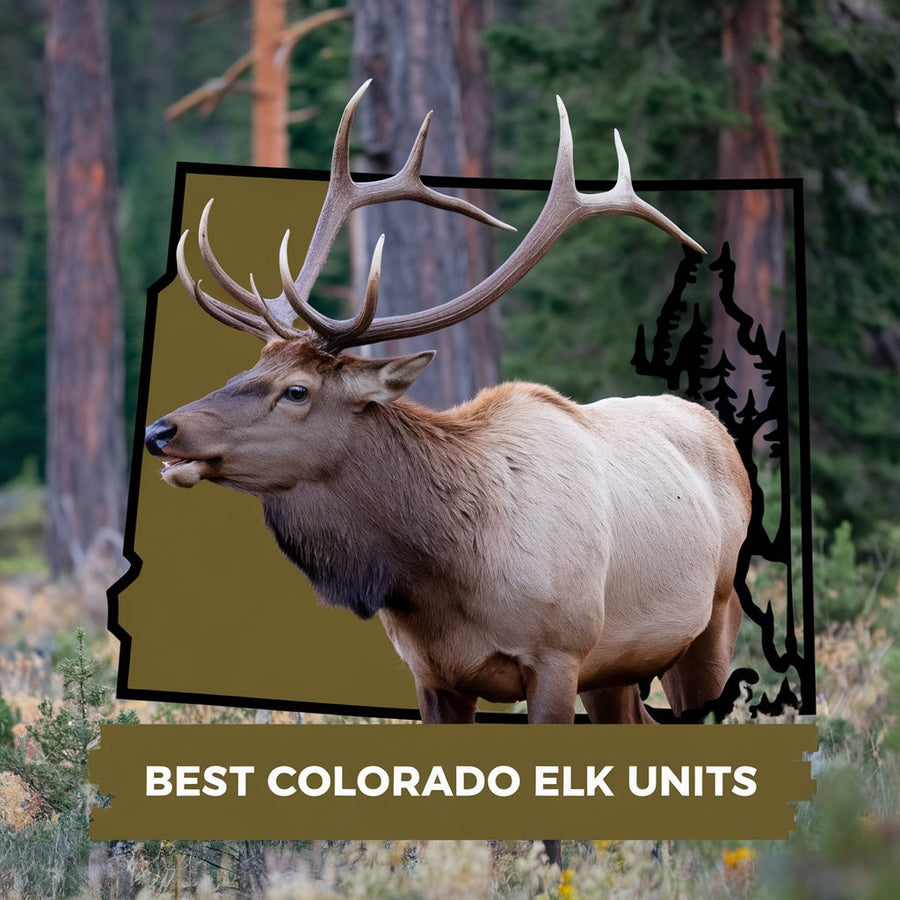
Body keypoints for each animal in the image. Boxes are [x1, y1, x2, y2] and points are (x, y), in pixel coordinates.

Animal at [145, 80, 751, 730]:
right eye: (248, 369)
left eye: (297, 390)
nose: (161, 430)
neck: (447, 579)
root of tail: (721, 433)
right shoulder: (432, 674)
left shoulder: (559, 652)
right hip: (618, 668)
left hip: (712, 620)